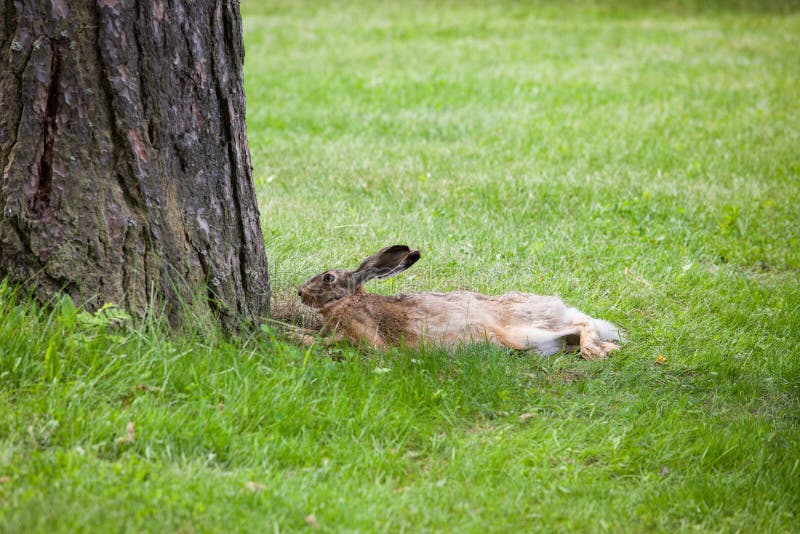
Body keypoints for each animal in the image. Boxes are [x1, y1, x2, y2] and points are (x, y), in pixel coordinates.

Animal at [297, 245, 623, 360]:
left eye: (328, 278)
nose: (300, 292)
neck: (349, 301)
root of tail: (559, 306)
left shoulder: (361, 334)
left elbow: (327, 342)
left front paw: (297, 336)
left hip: (523, 331)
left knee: (581, 324)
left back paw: (597, 351)